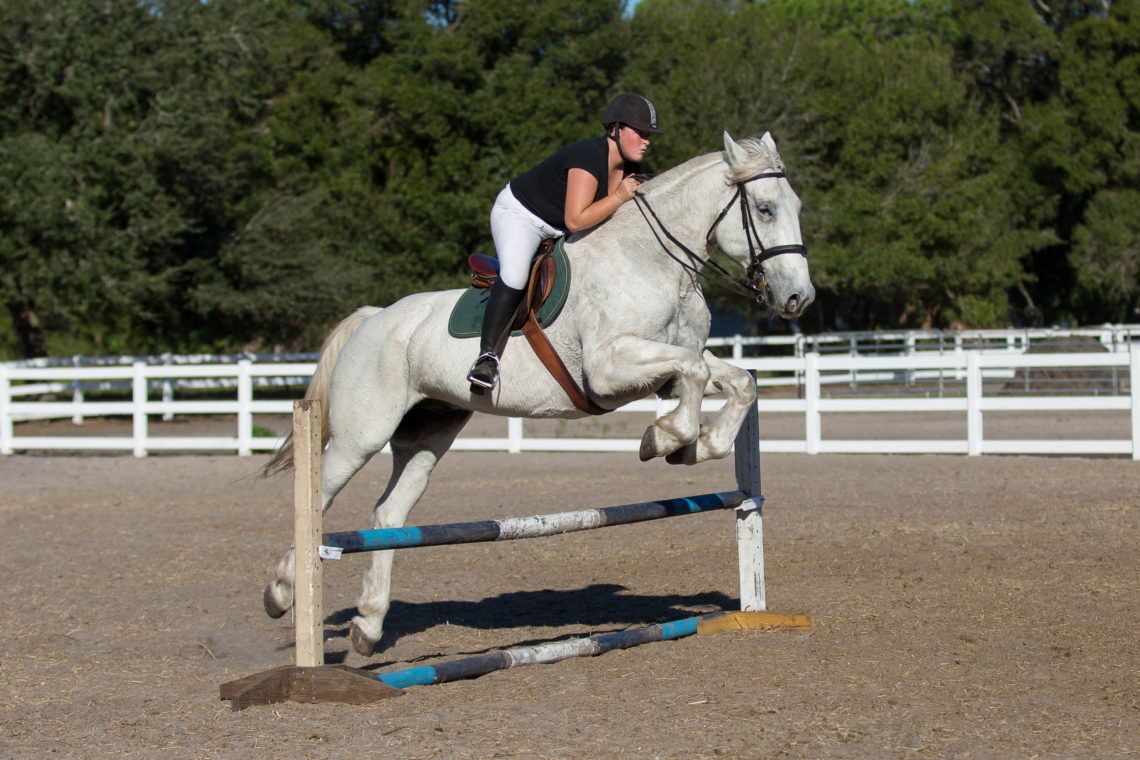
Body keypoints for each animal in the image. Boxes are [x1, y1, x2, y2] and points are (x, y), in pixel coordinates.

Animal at [262, 131, 814, 656]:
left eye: (797, 206)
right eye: (765, 209)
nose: (799, 298)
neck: (654, 263)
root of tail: (373, 318)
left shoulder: (669, 364)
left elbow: (736, 381)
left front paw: (695, 447)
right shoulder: (609, 368)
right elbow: (695, 375)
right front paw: (662, 440)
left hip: (428, 435)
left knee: (388, 514)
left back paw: (367, 625)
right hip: (362, 435)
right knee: (323, 496)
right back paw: (282, 593)